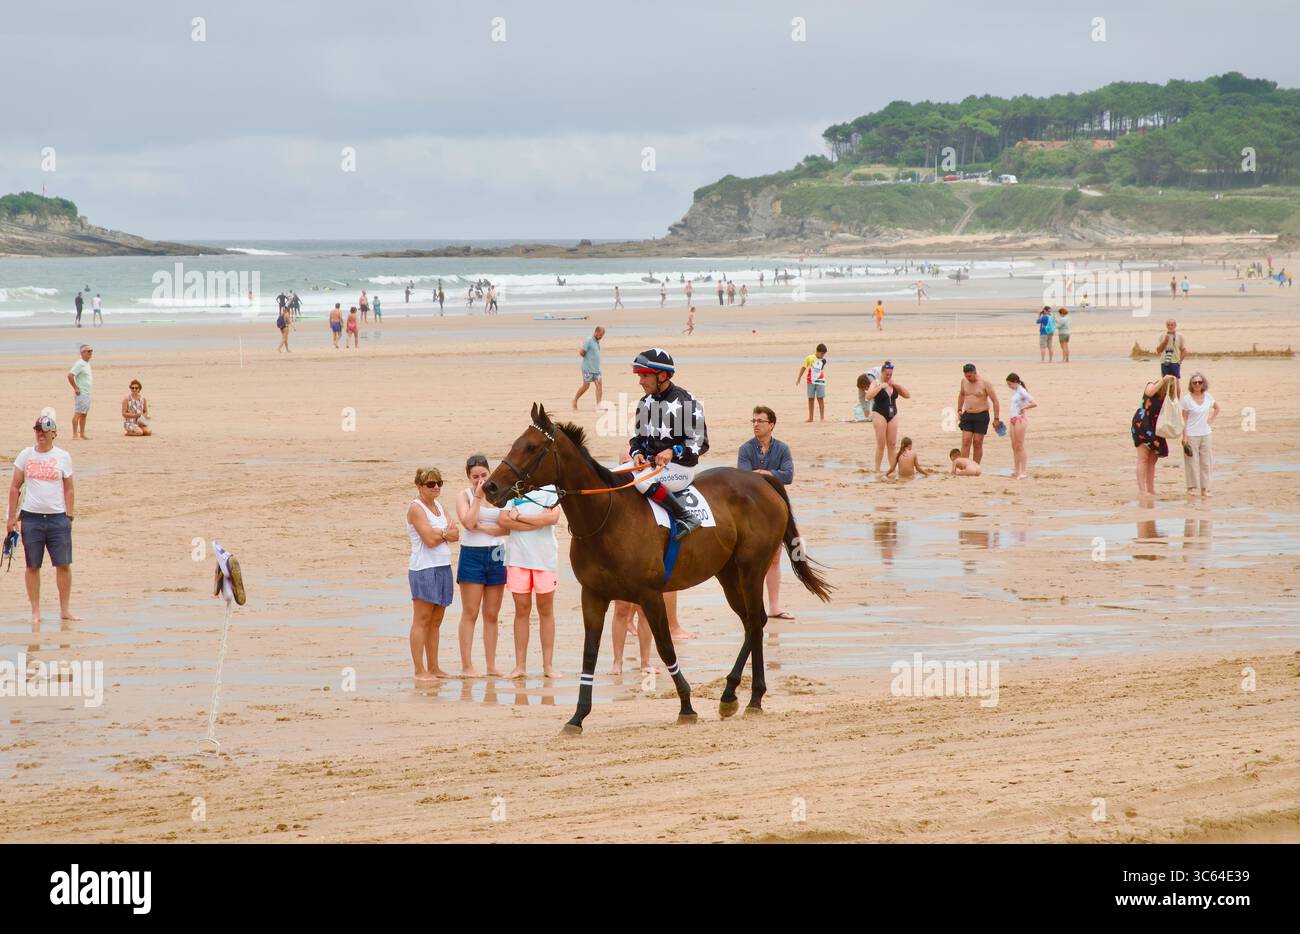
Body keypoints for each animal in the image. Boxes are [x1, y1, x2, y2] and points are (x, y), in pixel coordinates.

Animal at [483, 403, 832, 733]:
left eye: (531, 447)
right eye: (515, 443)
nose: (490, 487)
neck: (605, 517)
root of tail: (761, 478)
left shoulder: (650, 595)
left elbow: (665, 648)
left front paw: (687, 706)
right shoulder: (593, 595)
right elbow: (590, 654)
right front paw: (578, 716)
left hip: (751, 569)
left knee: (757, 621)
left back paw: (752, 697)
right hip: (728, 574)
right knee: (751, 622)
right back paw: (733, 694)